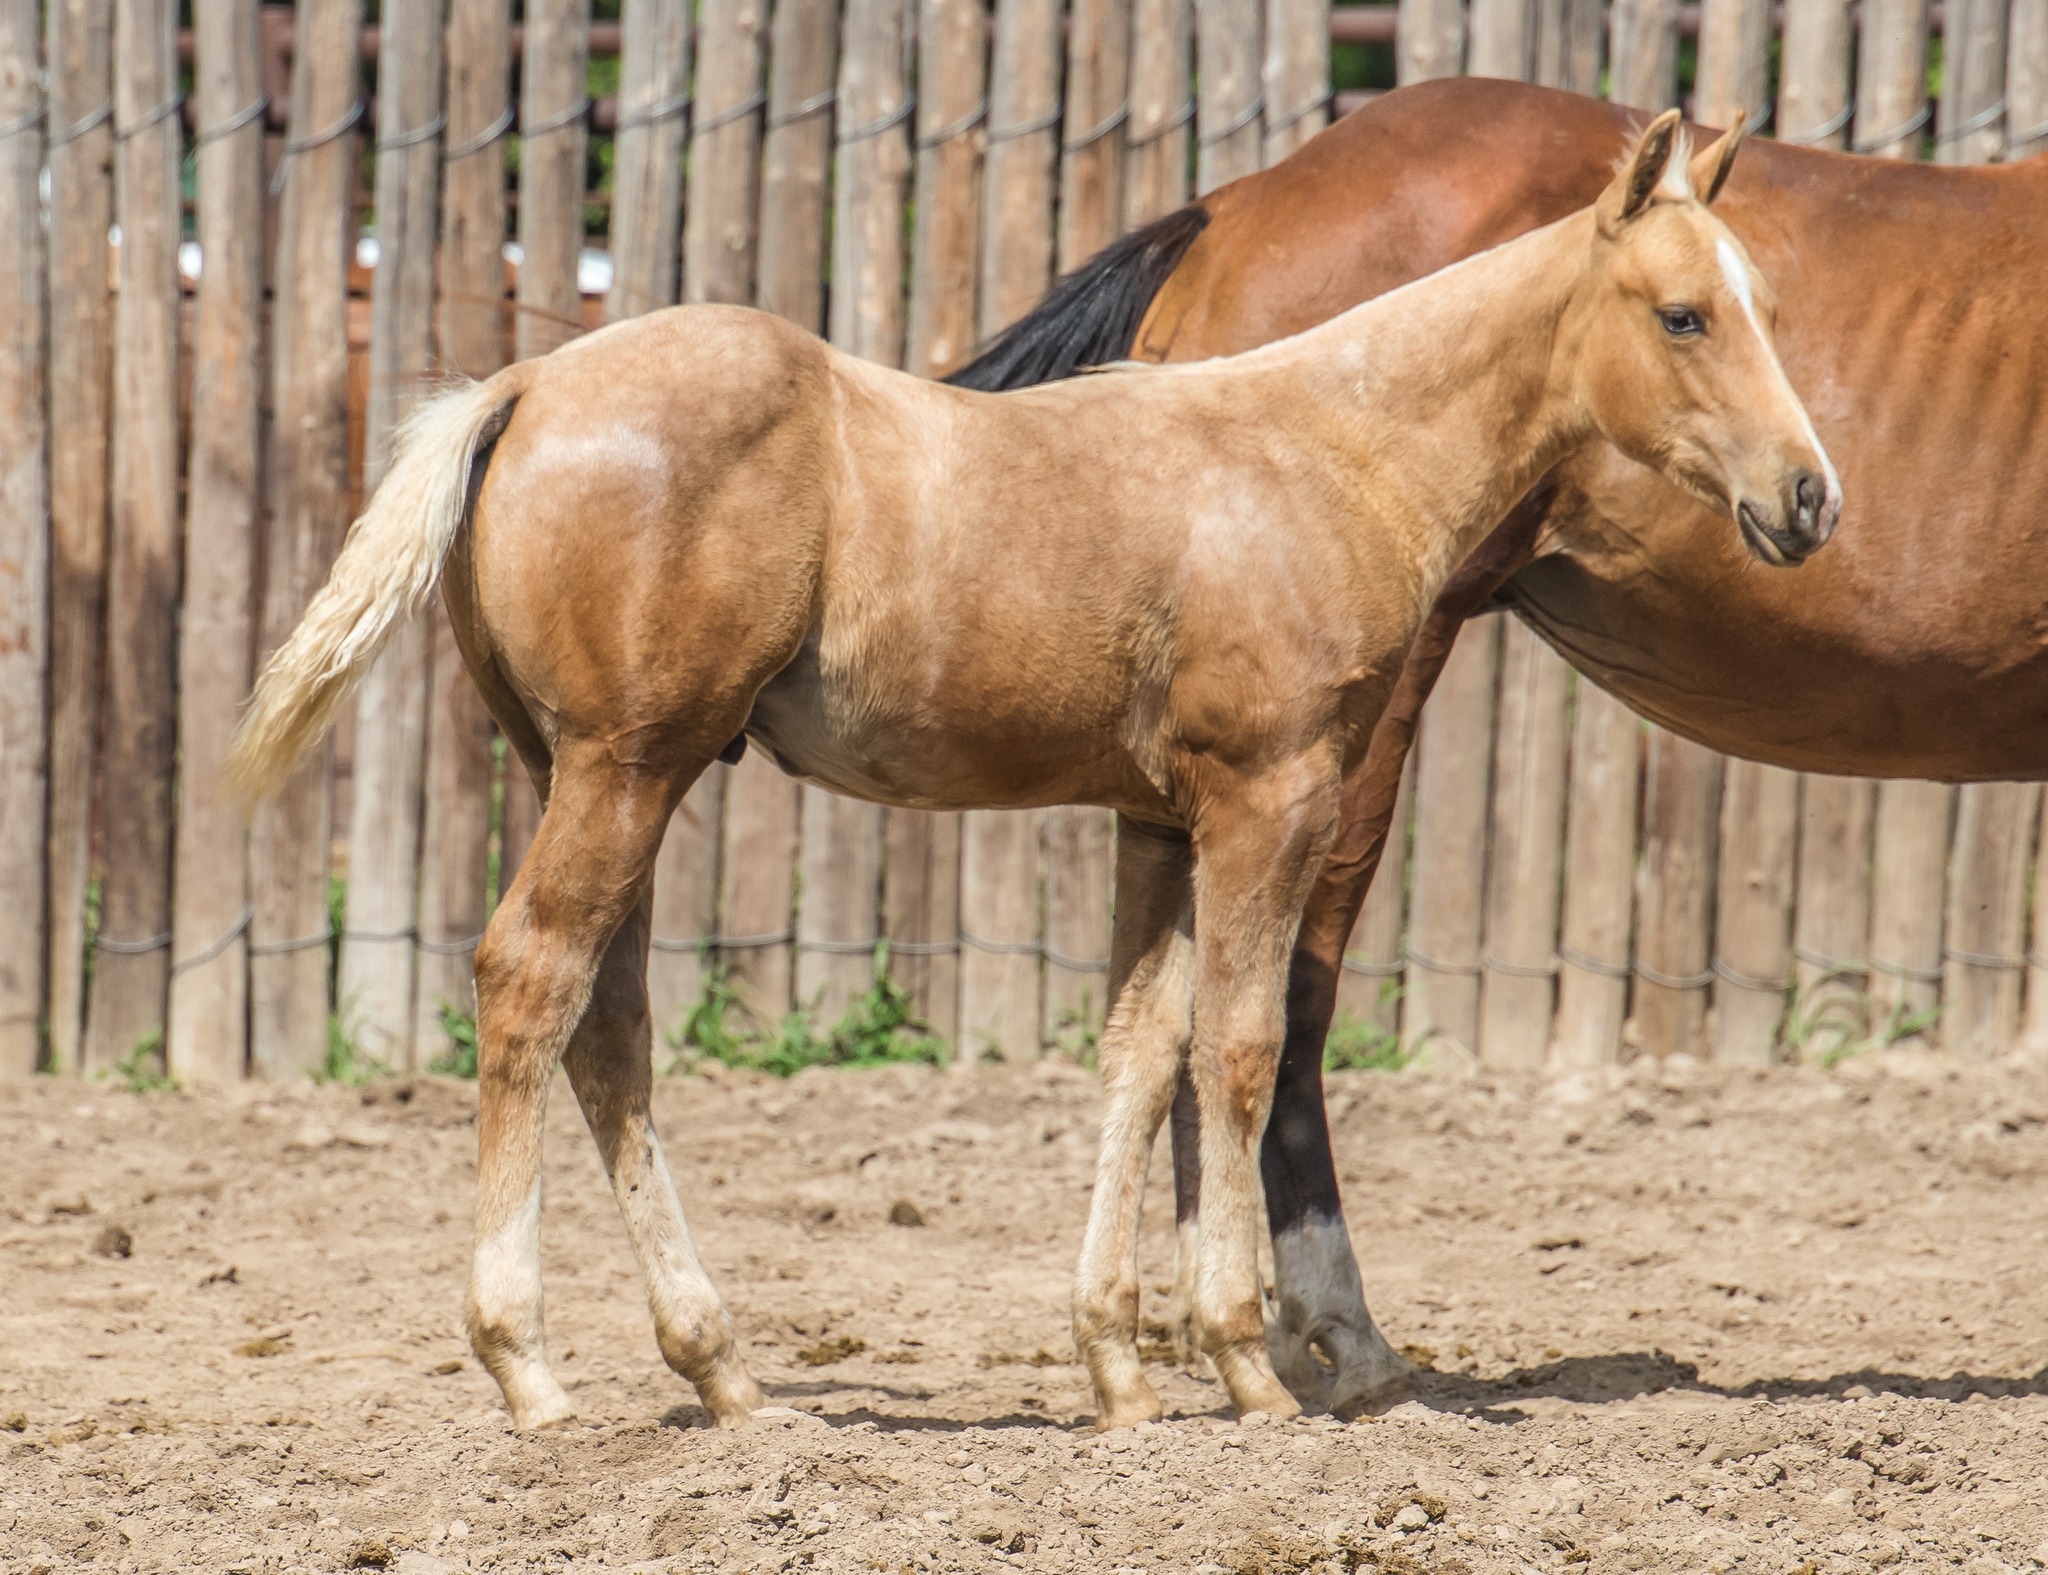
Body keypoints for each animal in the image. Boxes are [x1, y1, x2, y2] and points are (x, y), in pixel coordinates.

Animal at [229, 112, 1833, 1431]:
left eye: (1767, 304)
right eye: (1683, 313)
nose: (1809, 497)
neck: (1324, 450)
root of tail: (524, 380)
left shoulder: (1156, 819)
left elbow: (1137, 1051)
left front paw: (1117, 1366)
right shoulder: (1270, 798)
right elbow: (1241, 1049)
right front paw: (1247, 1360)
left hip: (595, 772)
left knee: (609, 1027)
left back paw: (724, 1367)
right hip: (627, 769)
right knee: (532, 982)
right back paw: (531, 1367)